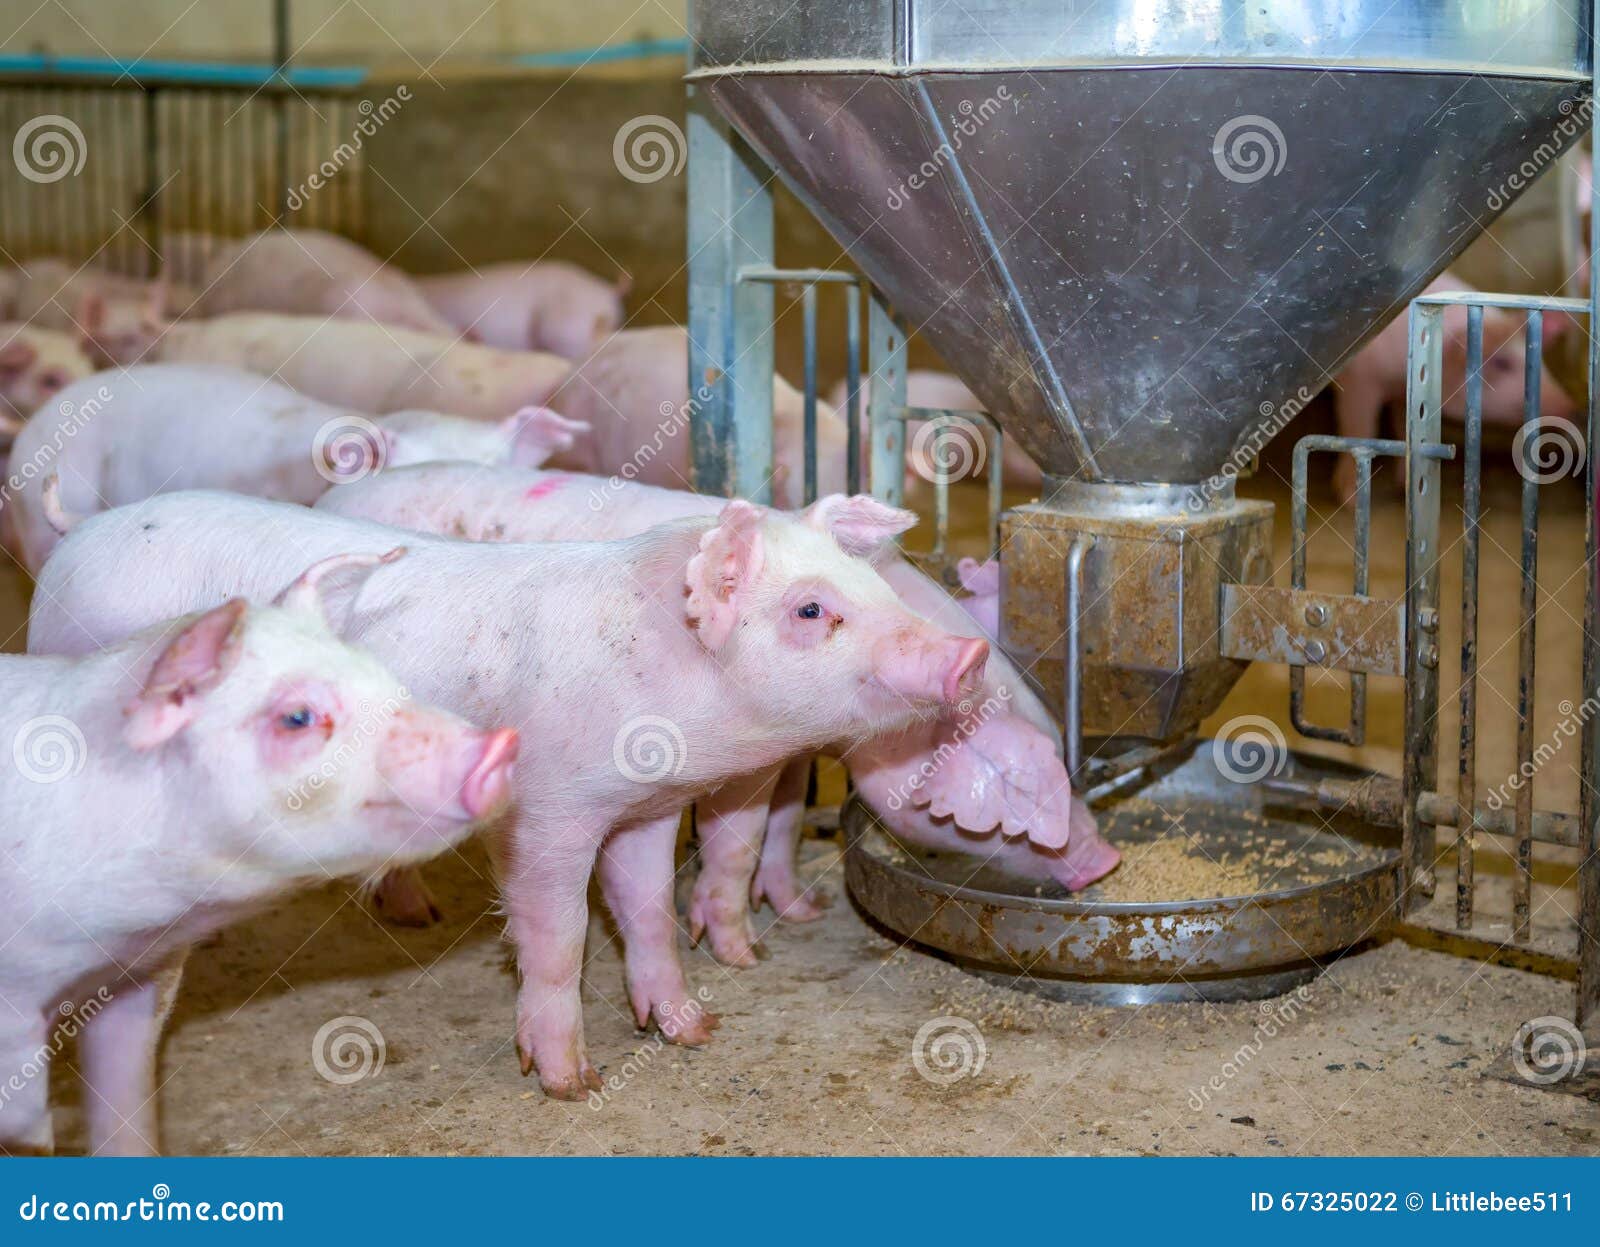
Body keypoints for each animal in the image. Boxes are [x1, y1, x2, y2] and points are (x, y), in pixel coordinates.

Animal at [32, 488, 987, 1098]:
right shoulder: (551, 812)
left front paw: (691, 1029)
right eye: (811, 610)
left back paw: (409, 912)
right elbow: (558, 934)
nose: (968, 653)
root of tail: (80, 535)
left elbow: (645, 911)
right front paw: (570, 1082)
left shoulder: (646, 807)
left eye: (870, 583)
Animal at [315, 463, 1120, 965]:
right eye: (1017, 787)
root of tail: (332, 499)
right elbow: (741, 833)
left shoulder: (793, 750)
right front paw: (743, 951)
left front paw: (796, 913)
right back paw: (416, 914)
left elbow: (782, 821)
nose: (1105, 859)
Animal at [1332, 272, 1578, 501]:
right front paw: (1348, 496)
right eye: (1502, 363)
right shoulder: (1359, 378)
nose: (1567, 404)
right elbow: (1359, 427)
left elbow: (1405, 430)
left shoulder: (1403, 393)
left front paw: (1404, 486)